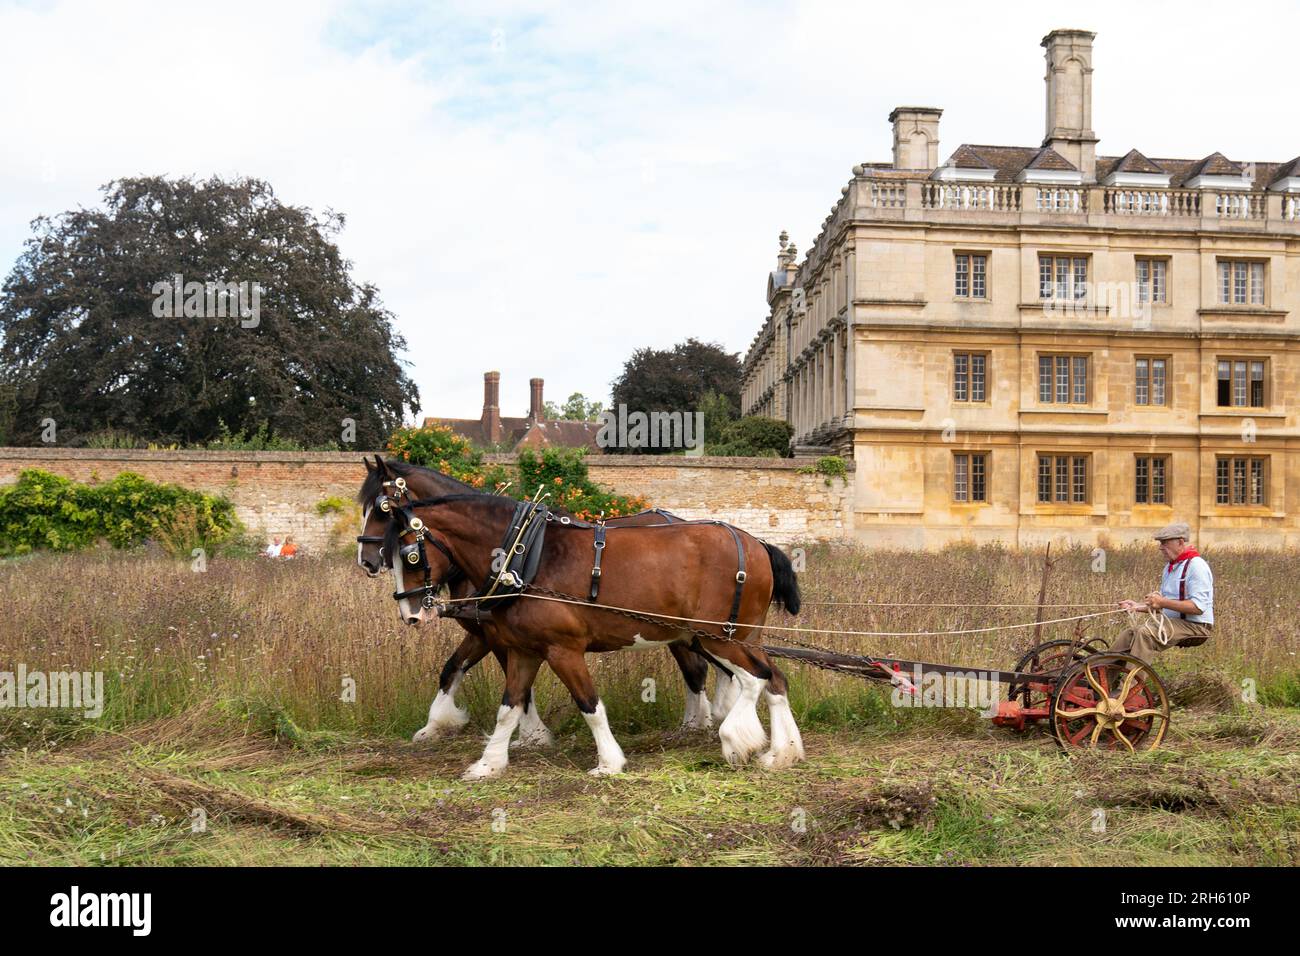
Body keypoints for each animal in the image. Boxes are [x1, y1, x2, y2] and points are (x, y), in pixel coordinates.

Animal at [355, 456, 731, 743]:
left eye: (382, 508)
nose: (366, 560)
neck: (510, 554)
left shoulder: (500, 635)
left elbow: (519, 687)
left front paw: (533, 734)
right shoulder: (483, 632)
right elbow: (451, 670)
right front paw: (435, 725)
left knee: (697, 669)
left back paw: (700, 722)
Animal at [384, 492, 804, 779]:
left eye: (410, 556)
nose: (410, 614)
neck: (526, 556)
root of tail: (755, 544)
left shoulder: (563, 650)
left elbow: (590, 705)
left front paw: (608, 762)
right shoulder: (523, 651)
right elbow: (509, 708)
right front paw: (488, 763)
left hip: (718, 637)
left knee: (755, 678)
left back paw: (735, 739)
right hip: (740, 637)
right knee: (775, 679)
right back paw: (782, 752)